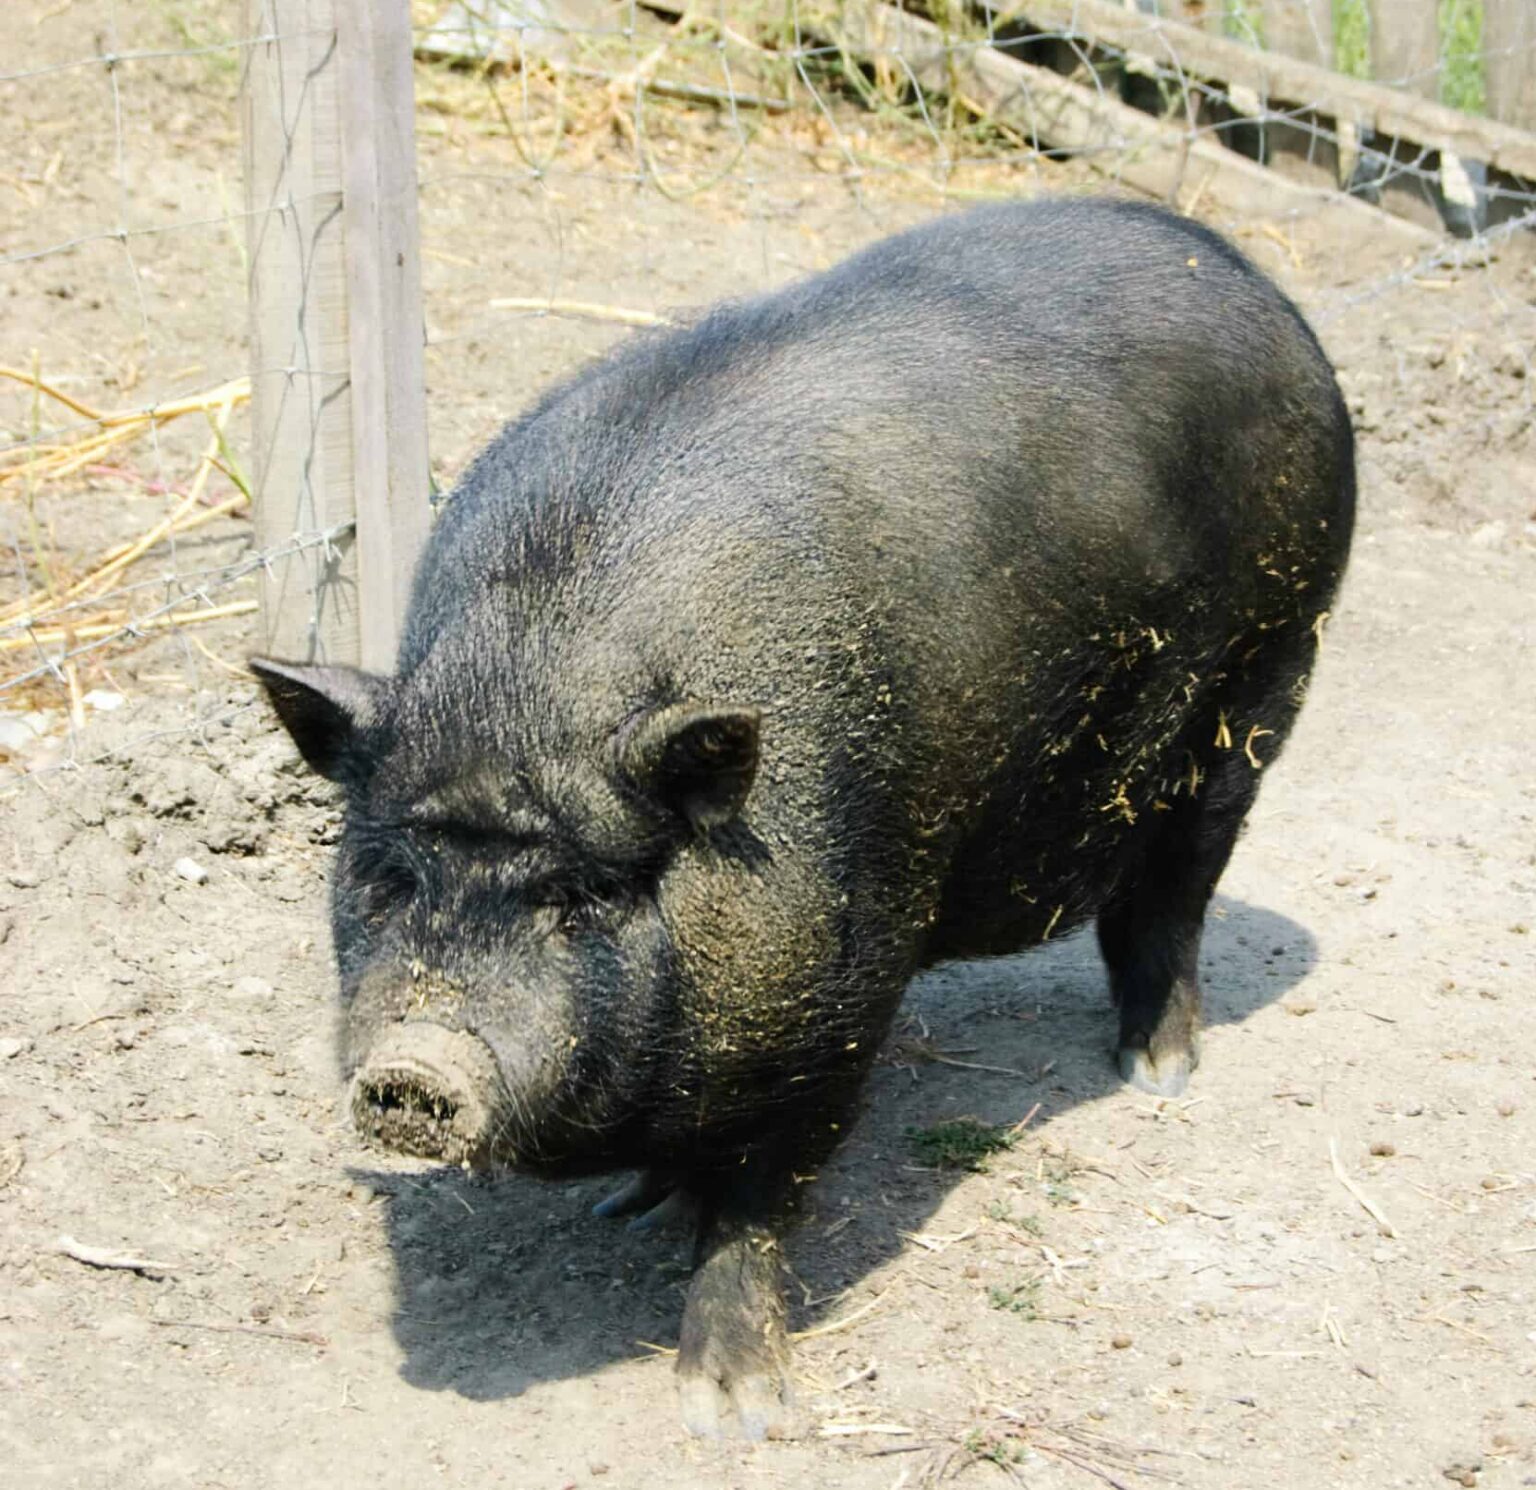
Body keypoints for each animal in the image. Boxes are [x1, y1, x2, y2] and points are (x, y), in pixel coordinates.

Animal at [253, 197, 1354, 1440]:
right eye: (383, 874)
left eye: (585, 894)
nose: (414, 1066)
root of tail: (1244, 273)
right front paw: (632, 1208)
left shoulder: (847, 996)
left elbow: (762, 1204)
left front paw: (729, 1411)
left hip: (1271, 668)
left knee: (1176, 886)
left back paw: (1154, 1072)